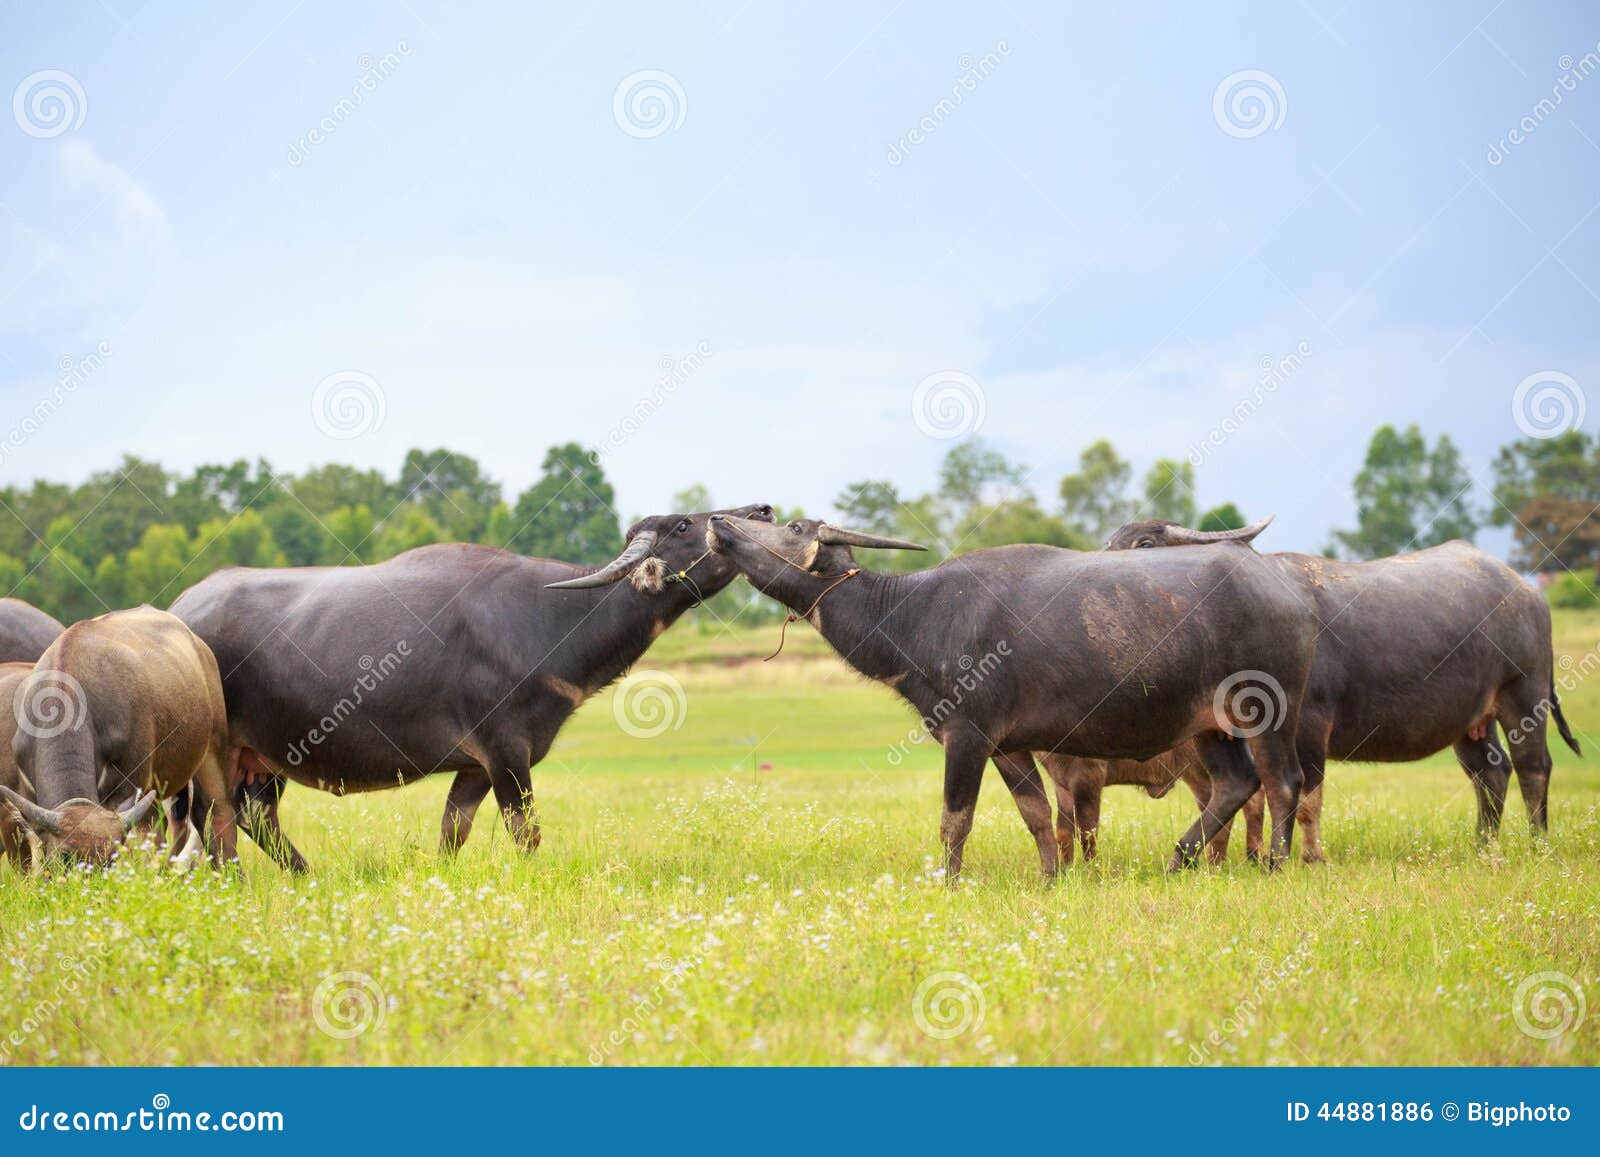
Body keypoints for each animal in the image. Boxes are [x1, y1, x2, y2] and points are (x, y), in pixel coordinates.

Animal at [170, 504, 774, 871]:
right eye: (685, 525)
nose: (761, 511)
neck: (548, 618)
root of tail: (181, 611)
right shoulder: (505, 751)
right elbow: (526, 833)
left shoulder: (474, 767)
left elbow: (451, 832)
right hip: (214, 755)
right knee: (213, 823)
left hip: (267, 757)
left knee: (255, 817)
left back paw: (306, 875)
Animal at [706, 513, 1320, 876]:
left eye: (791, 525)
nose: (719, 520)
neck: (914, 614)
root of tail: (1287, 591)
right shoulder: (1009, 746)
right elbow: (1038, 814)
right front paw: (1051, 875)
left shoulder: (967, 735)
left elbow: (955, 819)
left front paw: (949, 882)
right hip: (1209, 725)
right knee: (1235, 784)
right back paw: (1178, 859)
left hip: (1267, 713)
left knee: (1282, 783)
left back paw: (1276, 864)